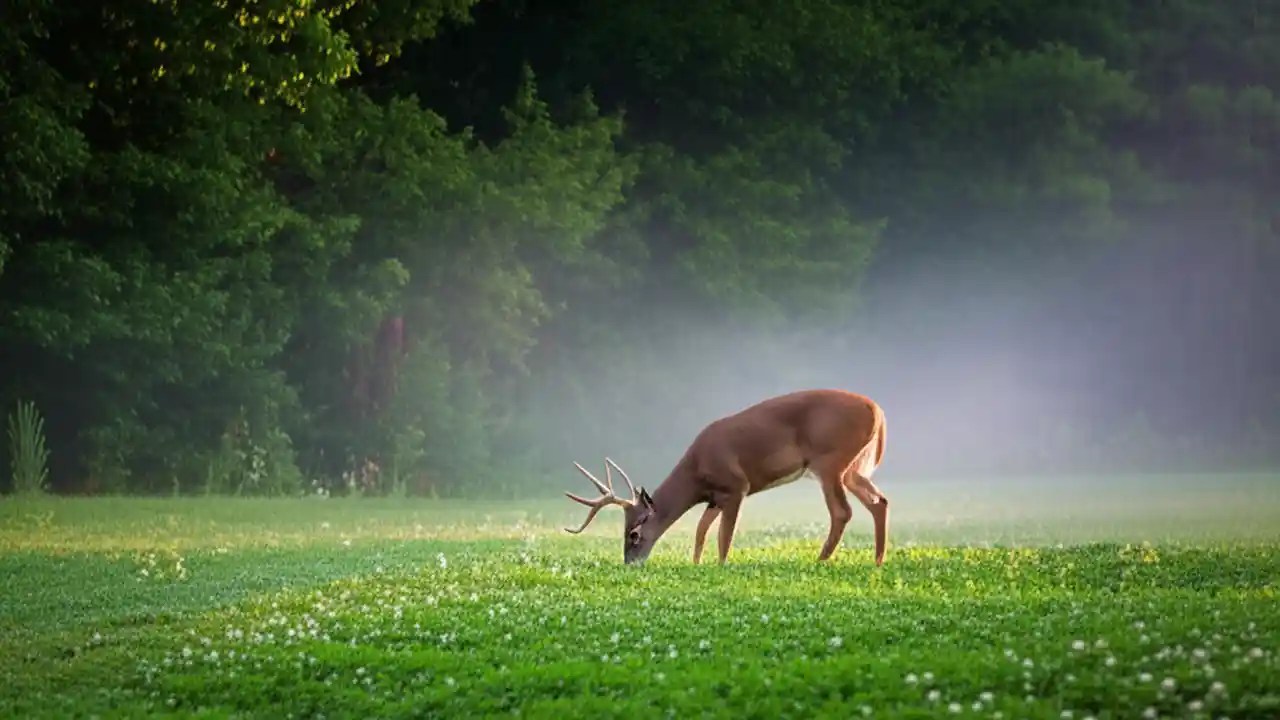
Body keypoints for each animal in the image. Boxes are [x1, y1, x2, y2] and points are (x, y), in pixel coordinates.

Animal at [563, 389, 889, 566]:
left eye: (634, 534)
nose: (630, 563)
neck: (696, 474)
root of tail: (878, 411)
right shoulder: (714, 498)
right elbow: (701, 530)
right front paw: (696, 564)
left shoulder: (736, 486)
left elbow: (724, 535)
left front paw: (720, 565)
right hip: (854, 468)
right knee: (879, 502)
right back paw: (877, 560)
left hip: (830, 460)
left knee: (842, 511)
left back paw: (820, 560)